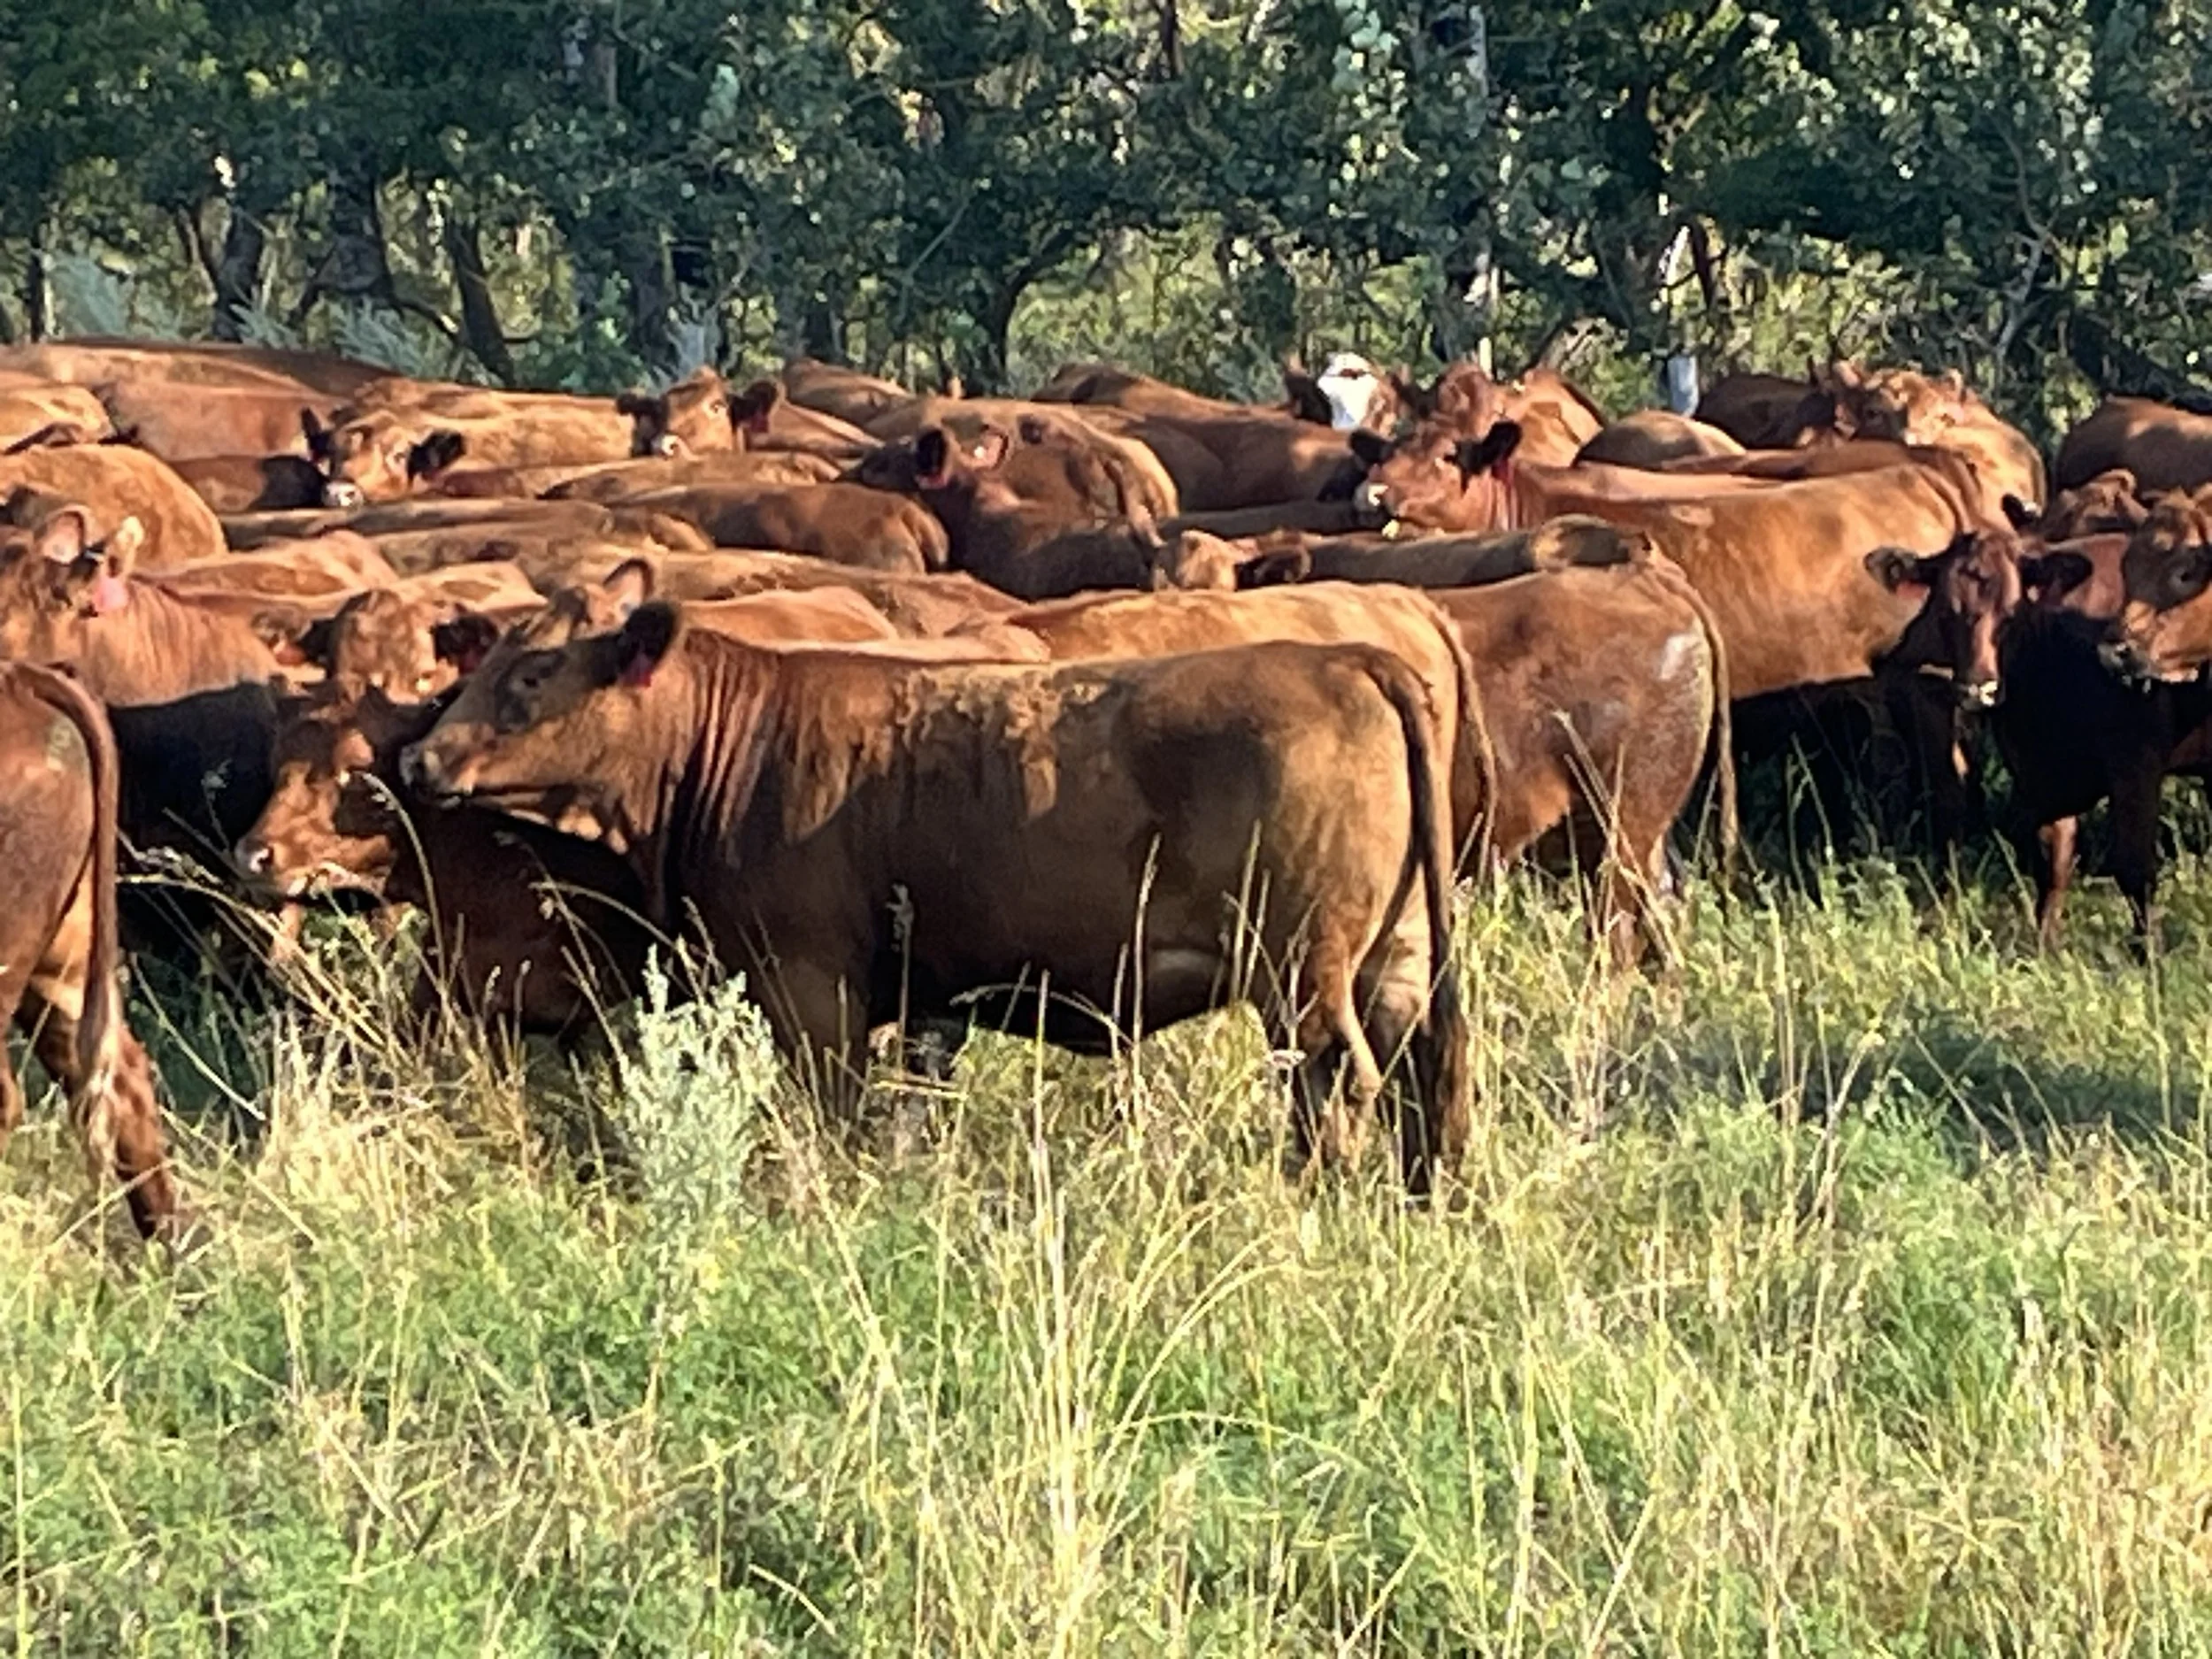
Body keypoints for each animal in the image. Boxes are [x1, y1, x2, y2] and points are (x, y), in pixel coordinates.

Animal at [402, 602, 1472, 1190]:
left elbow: (830, 1109)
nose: (420, 758)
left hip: (1300, 967)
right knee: (1425, 1068)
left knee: (1337, 1081)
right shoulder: (918, 1004)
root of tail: (1349, 659)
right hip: (1395, 954)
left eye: (532, 674)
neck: (743, 745)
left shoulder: (812, 988)